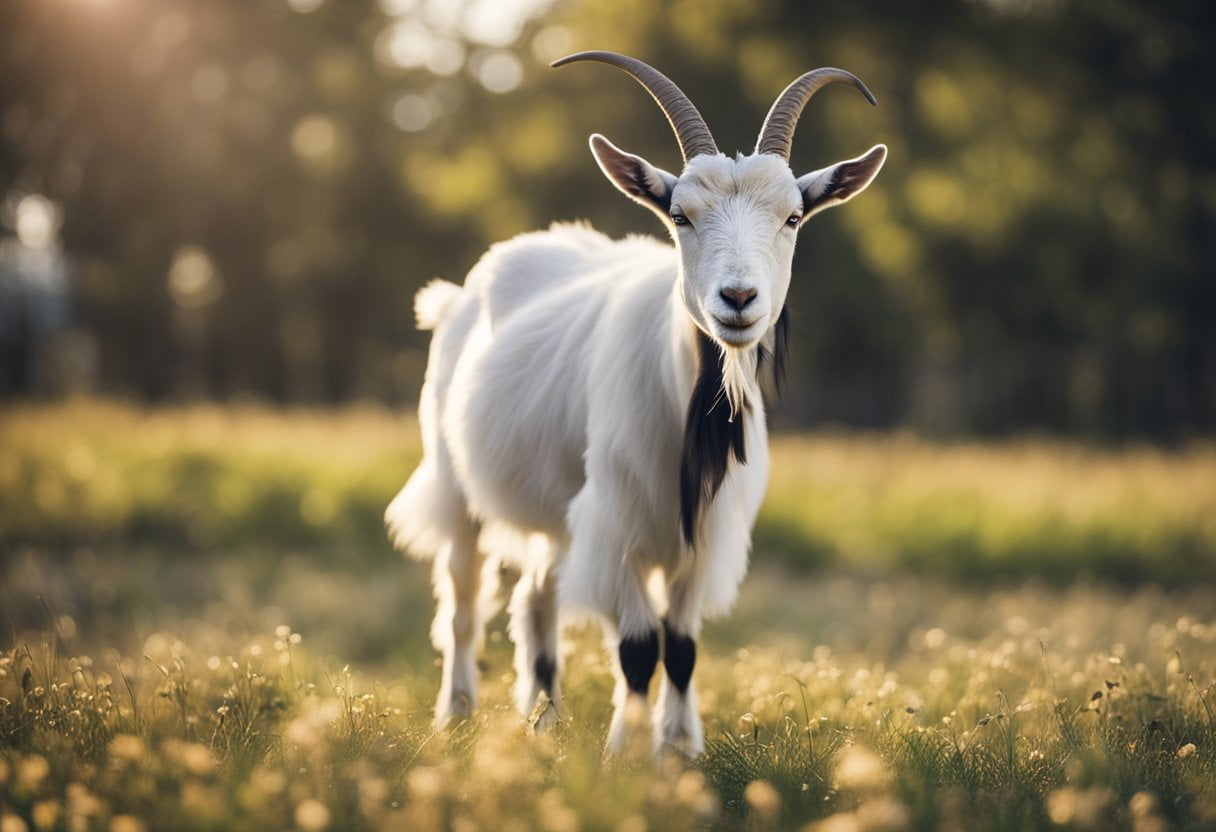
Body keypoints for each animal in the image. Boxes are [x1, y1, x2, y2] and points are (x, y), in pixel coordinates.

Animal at [386, 51, 886, 756]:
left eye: (792, 218)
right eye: (681, 215)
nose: (738, 299)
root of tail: (457, 295)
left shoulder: (701, 537)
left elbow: (681, 647)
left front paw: (678, 750)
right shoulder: (619, 526)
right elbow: (640, 648)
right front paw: (623, 754)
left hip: (561, 510)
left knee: (535, 600)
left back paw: (546, 722)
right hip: (458, 488)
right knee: (461, 604)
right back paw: (456, 716)